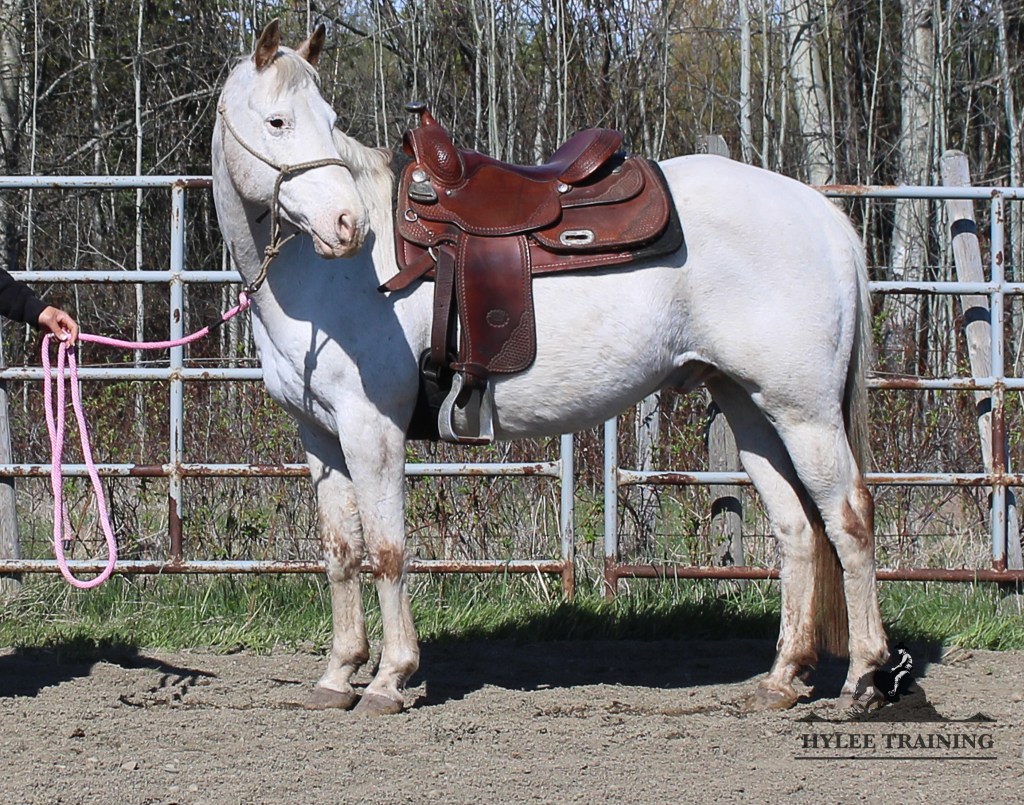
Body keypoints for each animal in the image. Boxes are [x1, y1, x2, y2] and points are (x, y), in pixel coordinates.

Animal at [211, 20, 889, 714]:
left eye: (327, 120)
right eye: (278, 121)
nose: (347, 226)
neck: (327, 278)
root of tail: (822, 215)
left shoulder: (372, 429)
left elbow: (387, 549)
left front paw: (389, 679)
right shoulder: (320, 436)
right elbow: (341, 552)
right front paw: (337, 674)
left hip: (804, 413)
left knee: (850, 521)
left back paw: (863, 678)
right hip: (749, 406)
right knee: (797, 529)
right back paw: (784, 677)